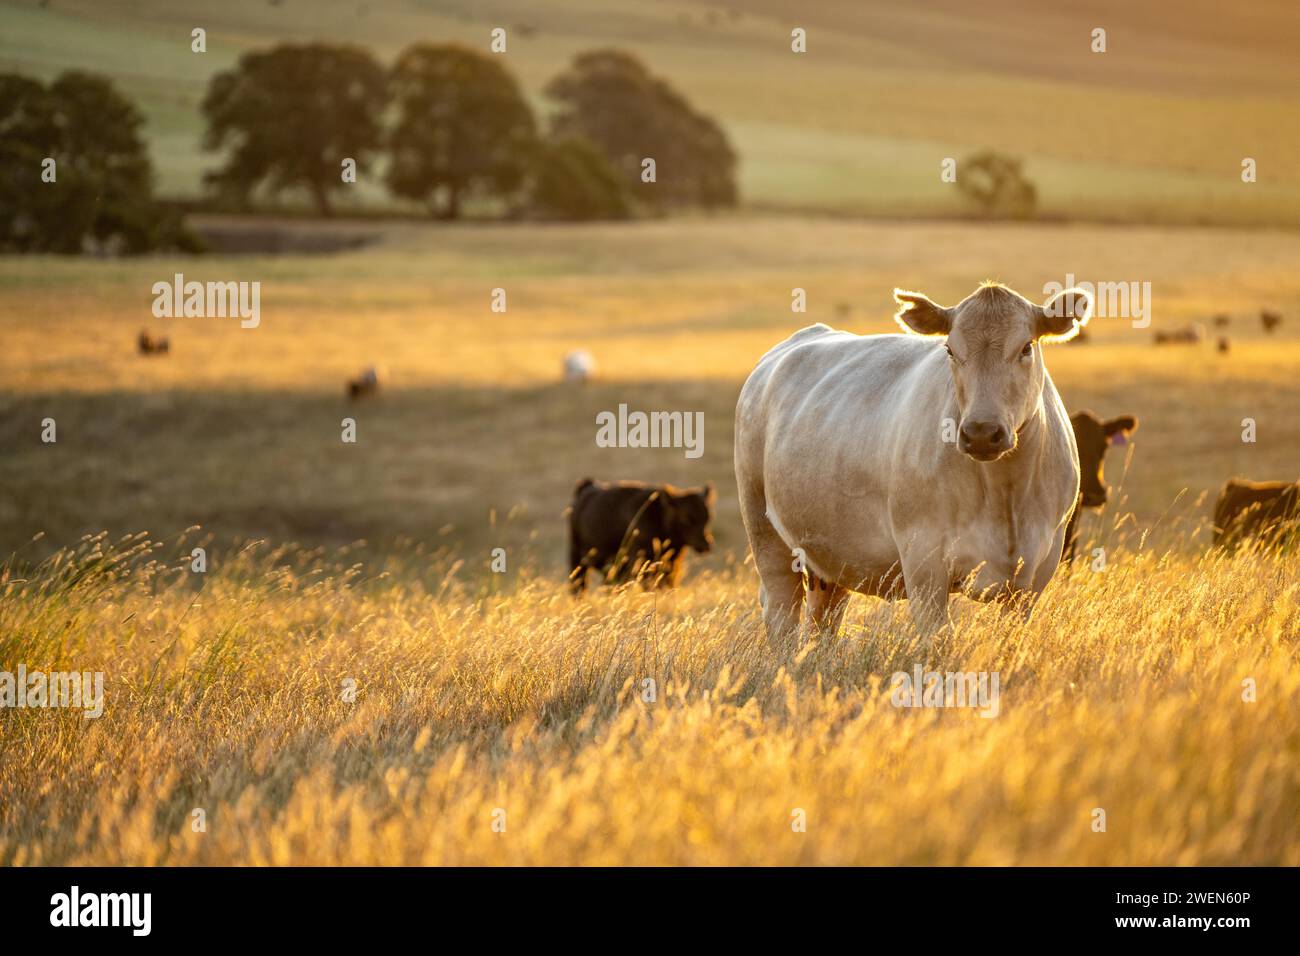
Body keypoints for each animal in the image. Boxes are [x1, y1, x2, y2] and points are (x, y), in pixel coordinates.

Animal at [568, 478, 715, 593]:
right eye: (686, 518)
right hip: (577, 557)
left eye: (707, 517)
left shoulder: (673, 562)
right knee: (578, 584)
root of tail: (586, 488)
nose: (705, 544)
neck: (660, 514)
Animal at [735, 281, 1089, 648]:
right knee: (781, 611)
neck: (1005, 493)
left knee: (824, 617)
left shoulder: (1037, 572)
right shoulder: (923, 561)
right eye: (950, 350)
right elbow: (940, 639)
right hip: (765, 531)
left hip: (830, 556)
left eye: (1026, 347)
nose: (981, 433)